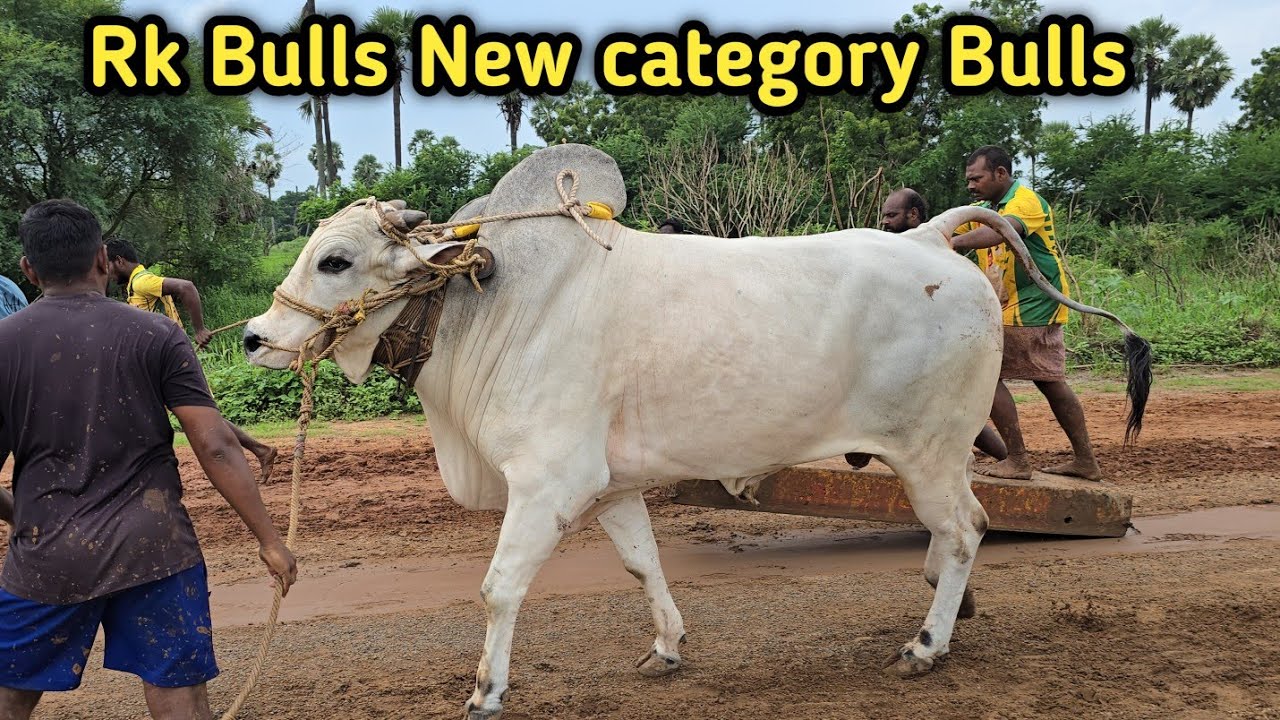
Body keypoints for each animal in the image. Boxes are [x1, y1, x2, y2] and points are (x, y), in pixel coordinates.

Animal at [244, 144, 1151, 719]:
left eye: (335, 260)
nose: (253, 337)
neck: (486, 305)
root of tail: (932, 239)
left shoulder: (546, 485)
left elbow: (499, 590)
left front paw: (485, 692)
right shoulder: (610, 489)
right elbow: (643, 567)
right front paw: (668, 647)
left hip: (929, 452)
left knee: (964, 528)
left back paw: (926, 644)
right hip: (934, 456)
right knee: (961, 530)